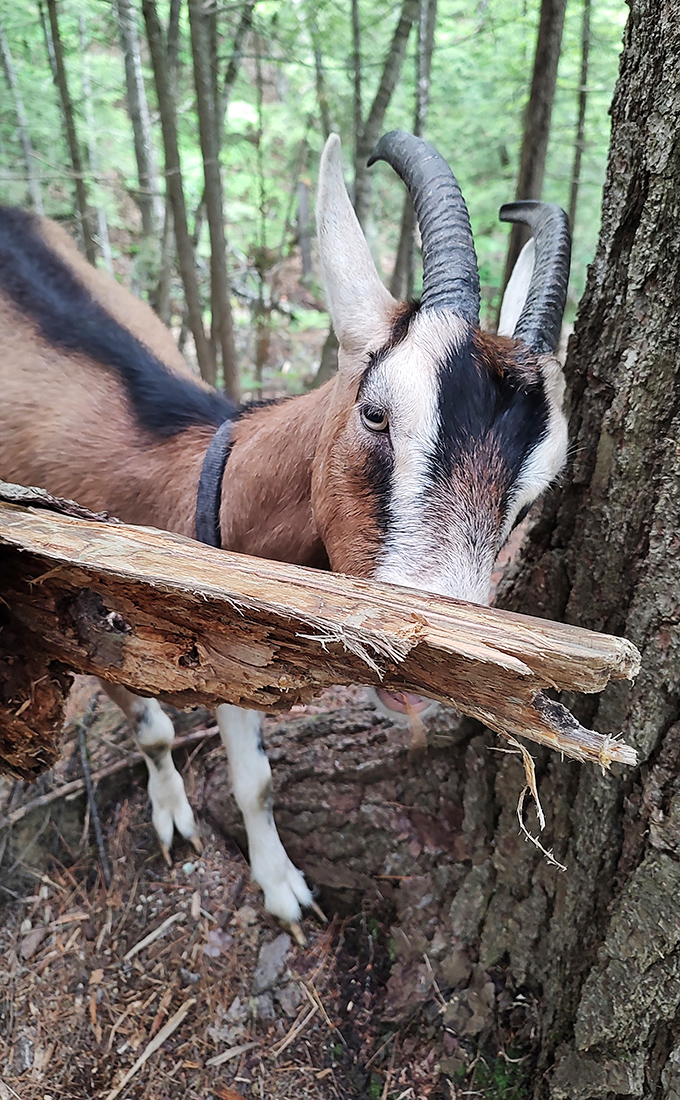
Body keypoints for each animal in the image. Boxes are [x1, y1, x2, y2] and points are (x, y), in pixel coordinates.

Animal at [0, 131, 571, 938]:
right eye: (375, 414)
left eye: (530, 496)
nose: (424, 685)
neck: (186, 477)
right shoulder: (83, 620)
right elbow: (154, 731)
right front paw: (177, 824)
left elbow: (257, 782)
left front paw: (283, 889)